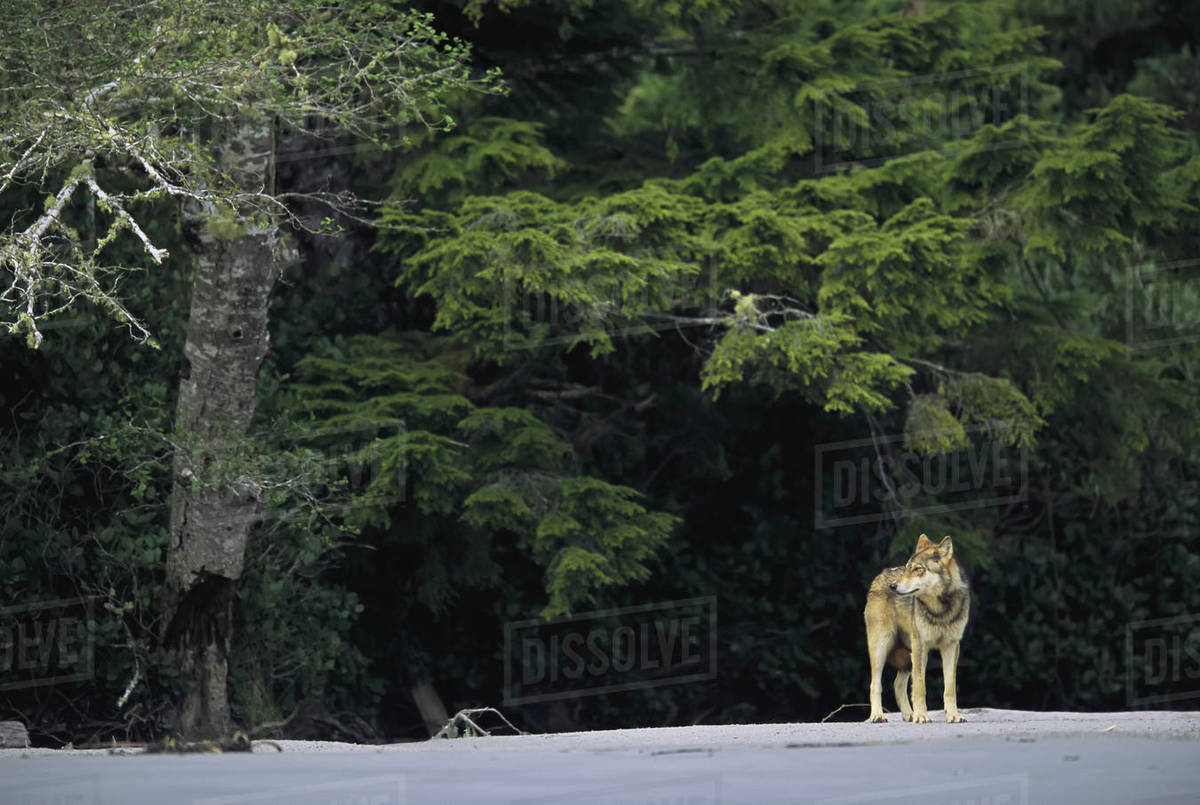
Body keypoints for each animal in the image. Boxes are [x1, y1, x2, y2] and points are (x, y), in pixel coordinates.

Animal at [864, 533, 970, 723]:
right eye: (907, 568)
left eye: (917, 569)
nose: (893, 586)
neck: (940, 610)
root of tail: (882, 573)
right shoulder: (921, 645)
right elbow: (920, 686)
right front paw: (922, 716)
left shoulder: (951, 646)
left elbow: (950, 687)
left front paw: (953, 715)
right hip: (882, 647)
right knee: (876, 684)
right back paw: (877, 715)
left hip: (908, 654)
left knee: (897, 684)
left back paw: (909, 715)